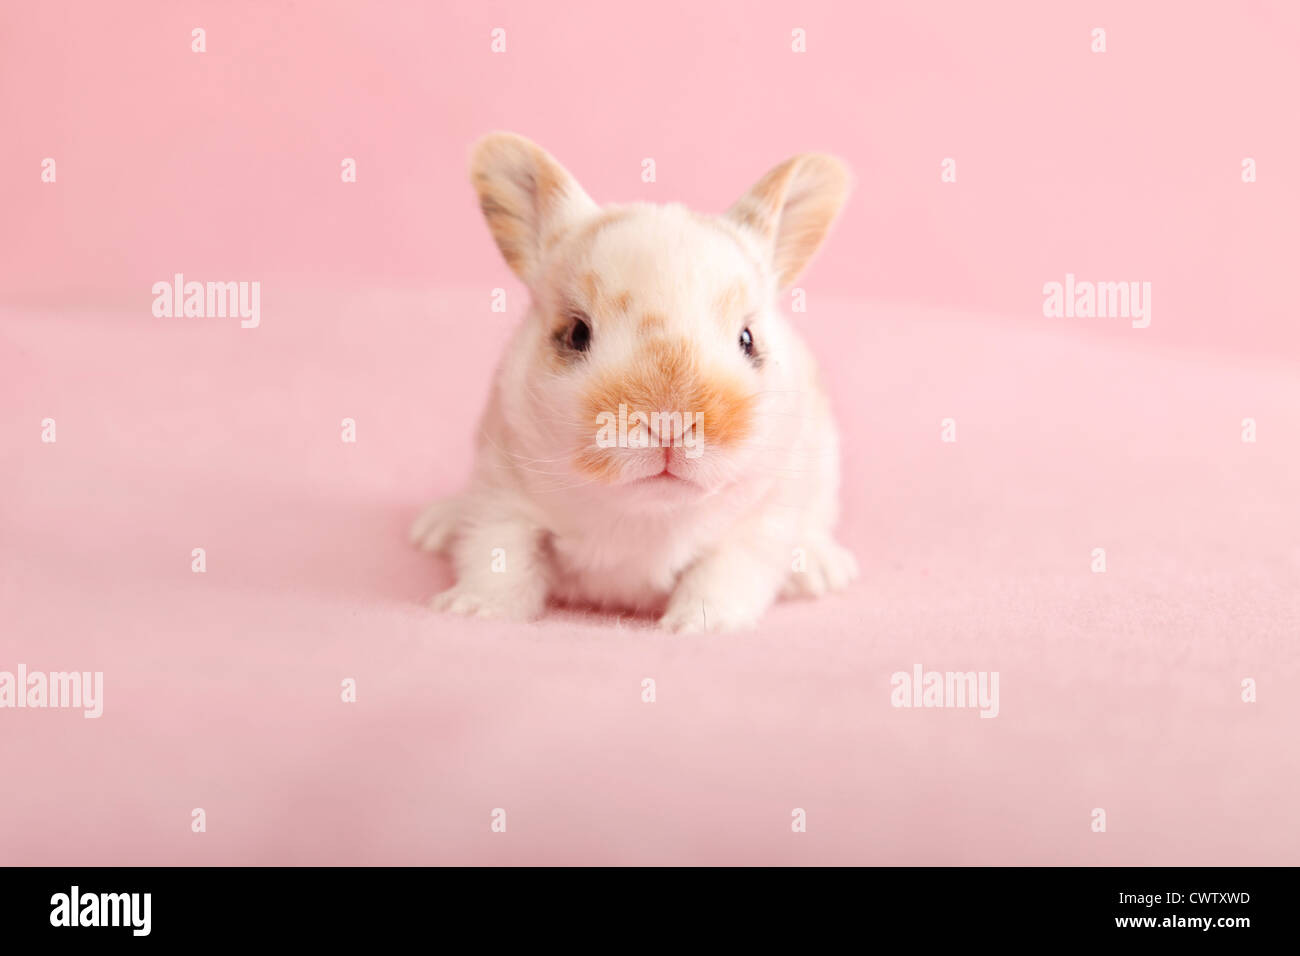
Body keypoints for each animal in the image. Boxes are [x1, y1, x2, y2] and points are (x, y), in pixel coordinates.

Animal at [410, 132, 857, 631]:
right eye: (576, 333)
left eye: (748, 339)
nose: (669, 424)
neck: (647, 512)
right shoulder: (501, 496)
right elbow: (498, 559)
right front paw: (472, 610)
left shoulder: (756, 528)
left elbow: (722, 577)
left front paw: (698, 627)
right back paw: (439, 525)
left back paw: (821, 568)